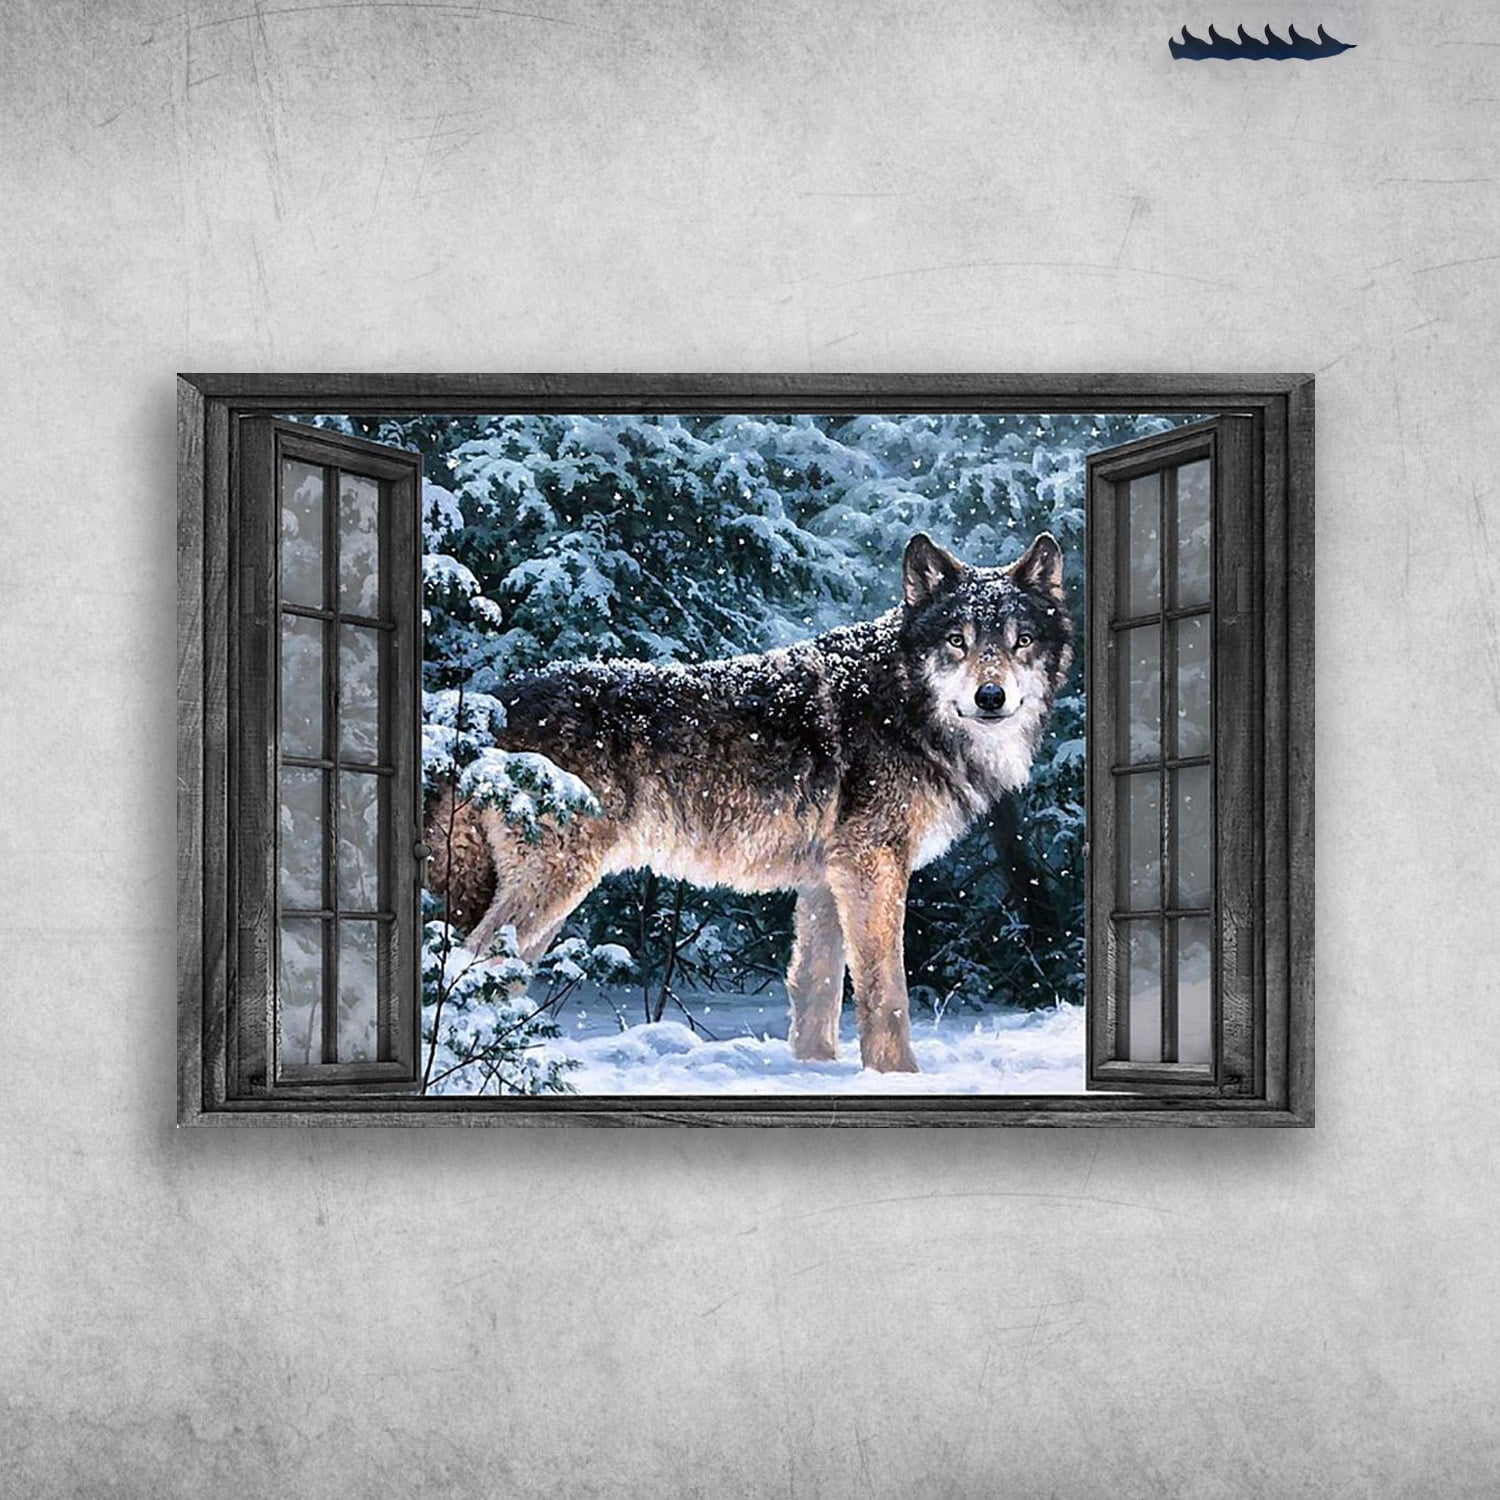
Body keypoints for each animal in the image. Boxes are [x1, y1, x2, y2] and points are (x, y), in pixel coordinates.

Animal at [427, 532, 1072, 1073]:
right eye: (957, 641)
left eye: (1020, 642)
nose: (991, 696)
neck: (902, 705)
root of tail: (489, 703)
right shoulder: (873, 867)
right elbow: (886, 992)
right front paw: (898, 1078)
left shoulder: (827, 880)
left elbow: (817, 991)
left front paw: (816, 1072)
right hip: (554, 886)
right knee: (471, 964)